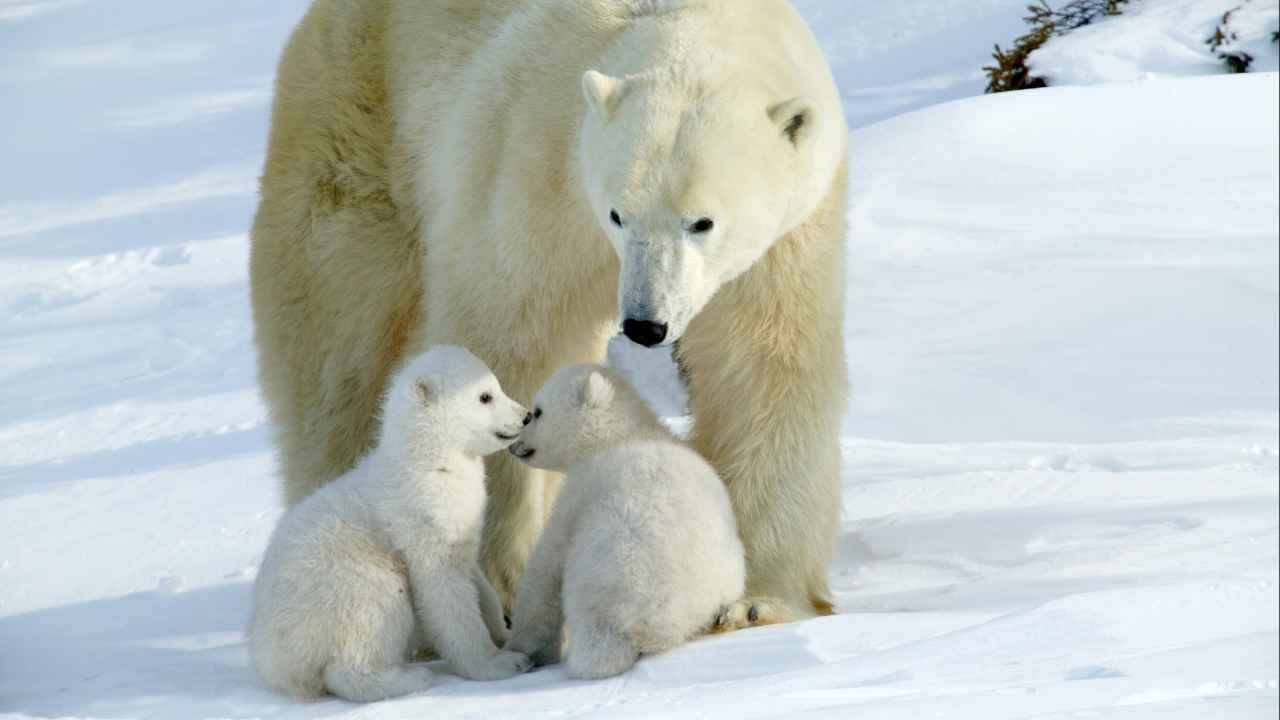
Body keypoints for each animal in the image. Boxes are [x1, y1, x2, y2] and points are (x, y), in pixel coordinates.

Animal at [247, 346, 533, 702]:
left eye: (495, 385)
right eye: (485, 396)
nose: (525, 415)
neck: (428, 461)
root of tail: (273, 661)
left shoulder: (461, 522)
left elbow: (475, 577)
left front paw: (504, 629)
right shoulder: (421, 518)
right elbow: (443, 591)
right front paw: (500, 663)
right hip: (343, 583)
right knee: (371, 616)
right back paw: (407, 677)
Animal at [249, 0, 850, 619]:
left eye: (701, 221)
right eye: (618, 213)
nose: (645, 324)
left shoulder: (786, 238)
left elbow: (761, 365)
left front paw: (760, 598)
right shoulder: (534, 169)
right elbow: (507, 339)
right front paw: (503, 578)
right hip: (357, 138)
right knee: (340, 356)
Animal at [502, 364, 747, 678]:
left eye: (537, 411)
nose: (514, 445)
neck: (624, 433)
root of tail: (653, 627)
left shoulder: (582, 490)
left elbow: (545, 568)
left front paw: (522, 648)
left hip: (606, 578)